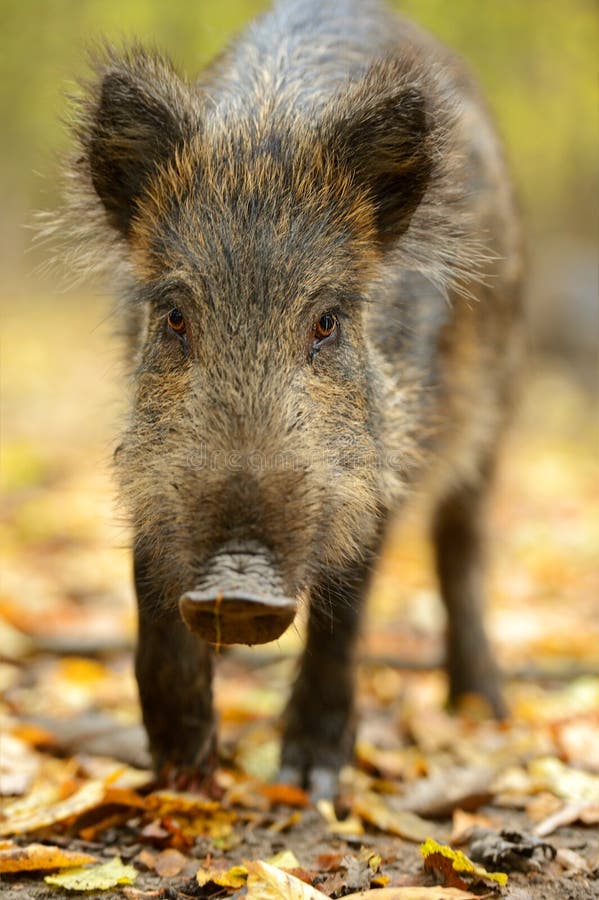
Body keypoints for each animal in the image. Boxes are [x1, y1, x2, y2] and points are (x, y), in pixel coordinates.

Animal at [57, 0, 524, 795]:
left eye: (327, 321)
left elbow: (348, 603)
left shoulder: (378, 456)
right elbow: (149, 576)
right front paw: (184, 774)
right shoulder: (155, 460)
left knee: (460, 547)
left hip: (495, 408)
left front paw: (310, 781)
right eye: (174, 316)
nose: (238, 587)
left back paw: (481, 707)